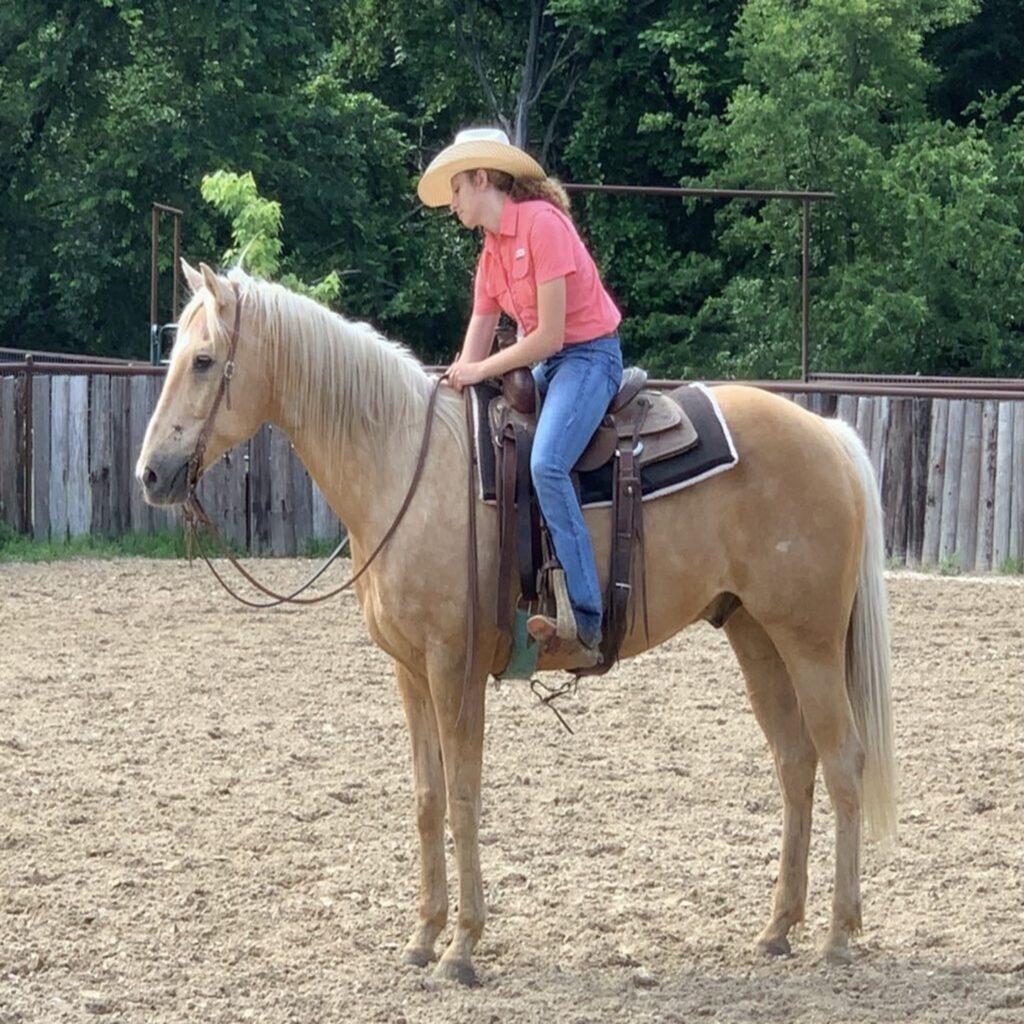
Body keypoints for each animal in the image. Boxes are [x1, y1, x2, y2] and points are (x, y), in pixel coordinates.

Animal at [137, 262, 897, 985]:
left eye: (204, 360)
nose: (151, 474)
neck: (402, 468)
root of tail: (829, 435)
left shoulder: (455, 665)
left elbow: (465, 795)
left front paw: (462, 947)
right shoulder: (409, 671)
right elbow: (428, 799)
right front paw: (423, 938)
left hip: (810, 642)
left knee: (842, 762)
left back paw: (837, 936)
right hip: (755, 634)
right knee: (795, 763)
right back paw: (778, 929)